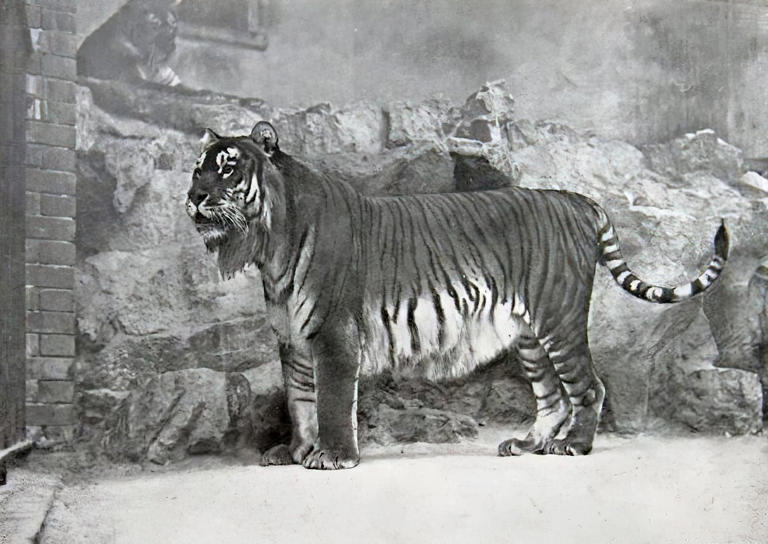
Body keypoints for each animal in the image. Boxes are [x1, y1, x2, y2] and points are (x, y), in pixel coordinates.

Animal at [185, 121, 729, 470]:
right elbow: (299, 400)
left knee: (588, 387)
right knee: (552, 396)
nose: (193, 197)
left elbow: (332, 401)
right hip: (530, 335)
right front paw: (295, 452)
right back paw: (526, 445)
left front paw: (334, 457)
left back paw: (573, 446)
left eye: (228, 168)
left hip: (559, 319)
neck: (270, 245)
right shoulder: (292, 338)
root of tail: (576, 199)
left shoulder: (333, 335)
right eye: (197, 170)